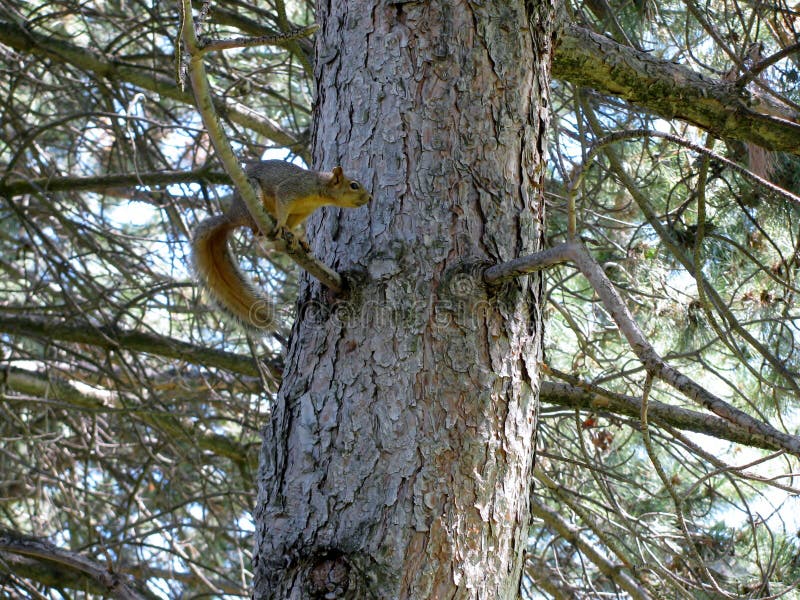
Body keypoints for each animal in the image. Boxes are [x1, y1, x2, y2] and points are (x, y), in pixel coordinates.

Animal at [192, 160, 371, 331]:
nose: (370, 198)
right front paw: (282, 226)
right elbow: (283, 203)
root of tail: (232, 216)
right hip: (251, 195)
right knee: (254, 226)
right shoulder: (293, 188)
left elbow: (291, 223)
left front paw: (298, 238)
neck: (320, 188)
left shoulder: (301, 212)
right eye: (354, 185)